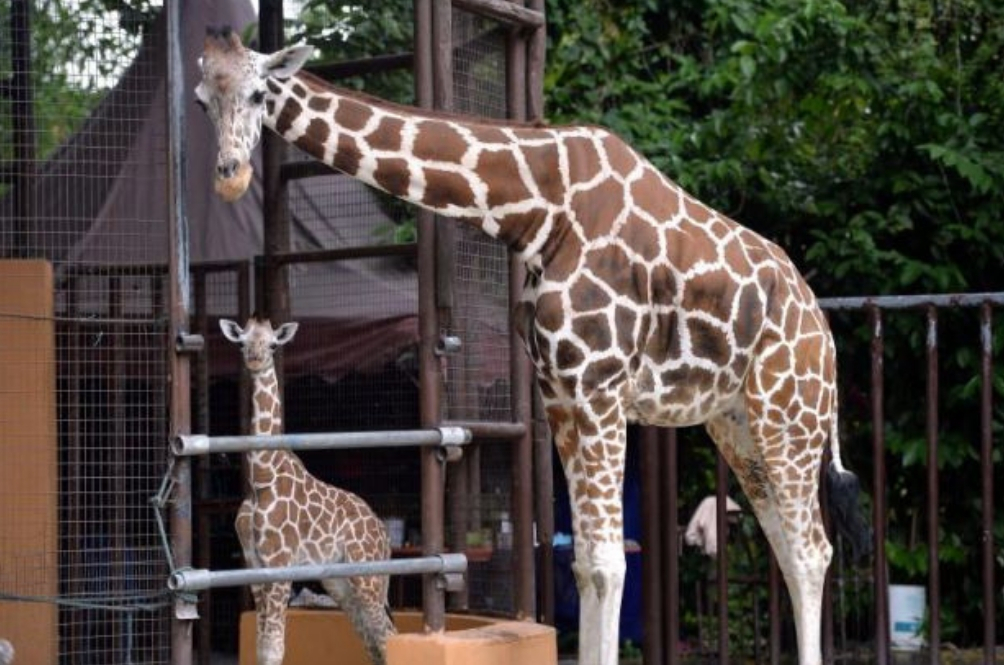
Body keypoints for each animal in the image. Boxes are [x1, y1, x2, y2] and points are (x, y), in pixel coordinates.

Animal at [219, 315, 396, 665]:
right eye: (243, 342)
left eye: (274, 345)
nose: (255, 359)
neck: (262, 476)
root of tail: (383, 535)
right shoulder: (252, 564)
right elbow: (261, 646)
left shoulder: (280, 563)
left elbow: (274, 648)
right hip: (340, 582)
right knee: (374, 640)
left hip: (369, 576)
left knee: (386, 637)